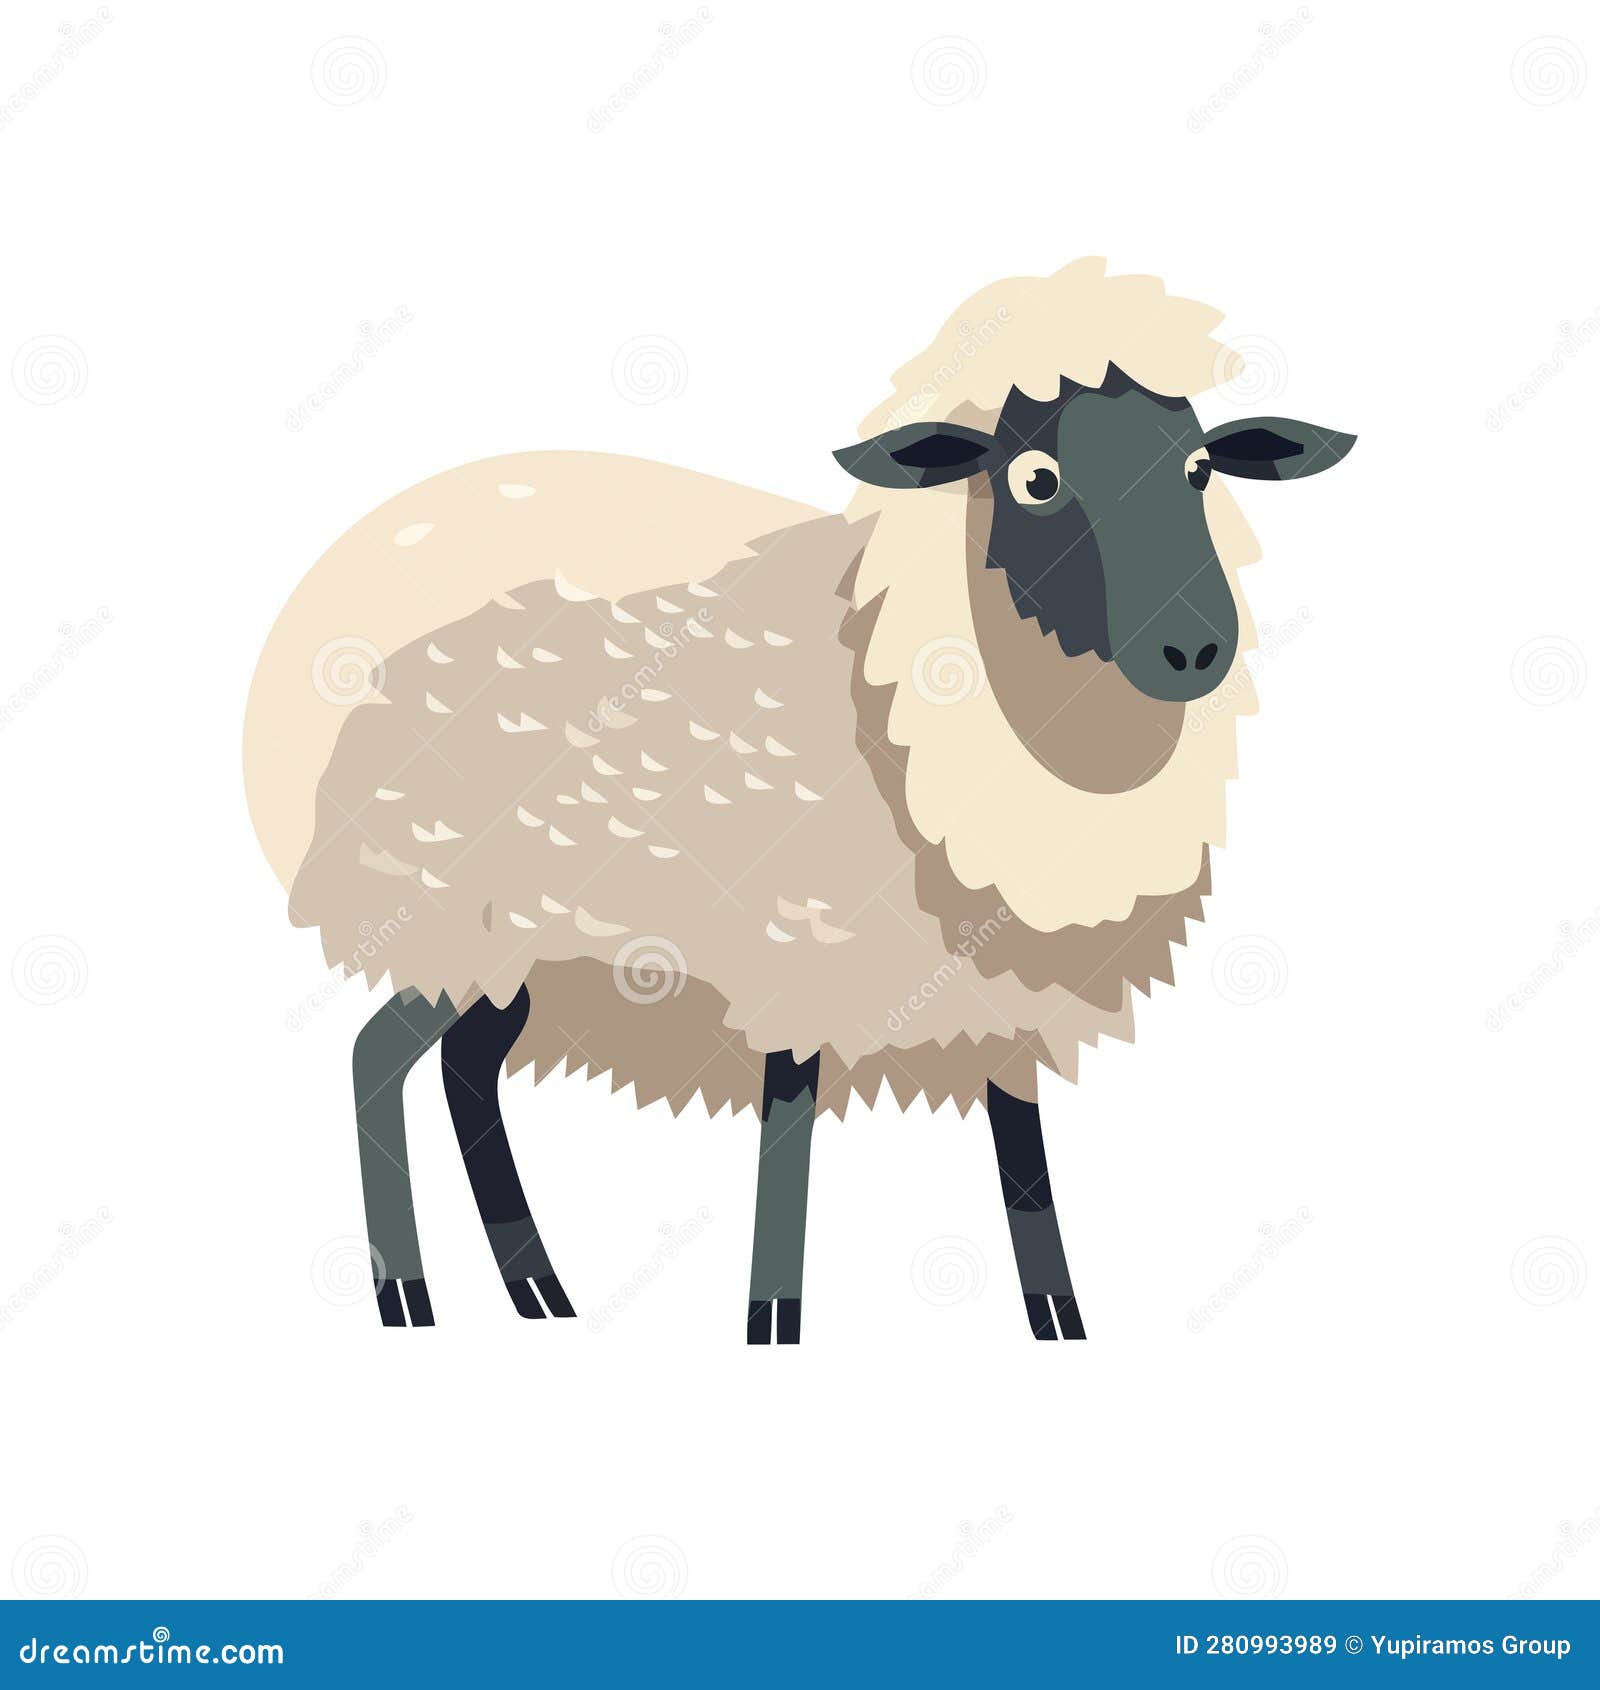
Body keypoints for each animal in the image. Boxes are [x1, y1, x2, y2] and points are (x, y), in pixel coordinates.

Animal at [244, 258, 1354, 1342]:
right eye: (1036, 479)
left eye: (1199, 467)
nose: (1195, 647)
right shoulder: (798, 960)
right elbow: (788, 1147)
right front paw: (770, 1324)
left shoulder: (996, 992)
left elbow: (1025, 1163)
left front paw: (1060, 1324)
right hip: (440, 907)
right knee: (375, 1058)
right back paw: (408, 1299)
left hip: (516, 948)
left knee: (462, 1071)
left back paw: (541, 1297)